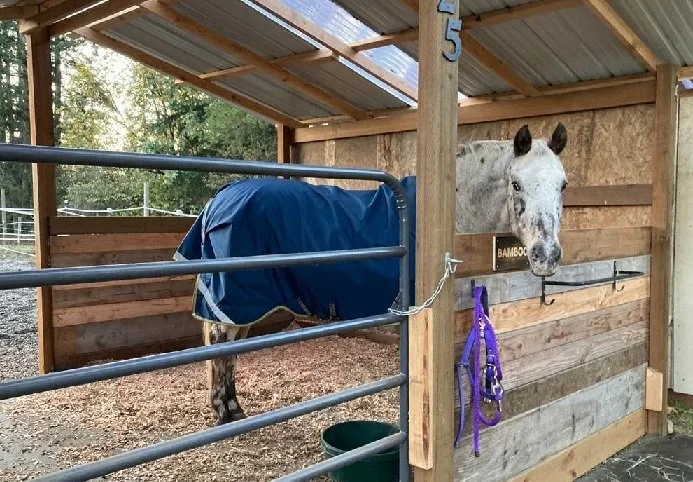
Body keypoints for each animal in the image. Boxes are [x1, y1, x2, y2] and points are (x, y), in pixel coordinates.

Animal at [174, 123, 568, 425]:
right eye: (516, 184)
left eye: (563, 184)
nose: (546, 255)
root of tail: (221, 196)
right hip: (235, 298)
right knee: (221, 346)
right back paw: (226, 411)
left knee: (230, 349)